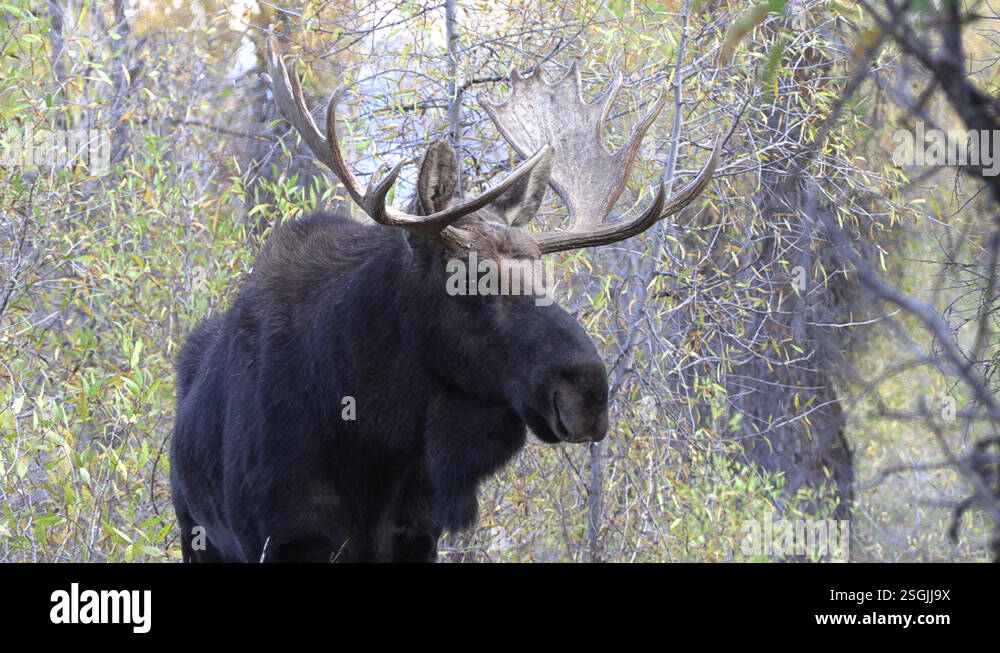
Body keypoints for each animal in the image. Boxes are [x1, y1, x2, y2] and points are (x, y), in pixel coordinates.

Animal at [169, 37, 722, 562]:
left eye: (546, 277)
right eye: (472, 278)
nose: (587, 395)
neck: (371, 441)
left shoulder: (415, 534)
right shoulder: (282, 536)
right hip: (196, 531)